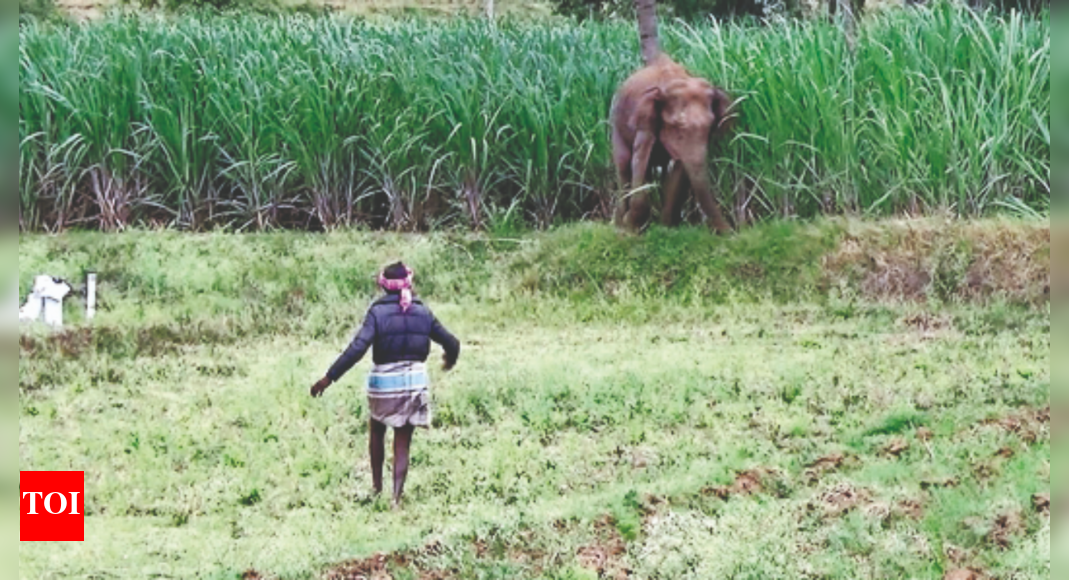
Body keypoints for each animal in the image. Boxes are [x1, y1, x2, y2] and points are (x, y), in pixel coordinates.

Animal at [611, 55, 735, 234]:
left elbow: (679, 169)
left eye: (711, 126)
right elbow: (639, 159)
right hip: (616, 124)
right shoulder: (645, 121)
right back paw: (620, 225)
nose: (732, 232)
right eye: (677, 125)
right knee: (623, 165)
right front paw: (630, 230)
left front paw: (665, 229)